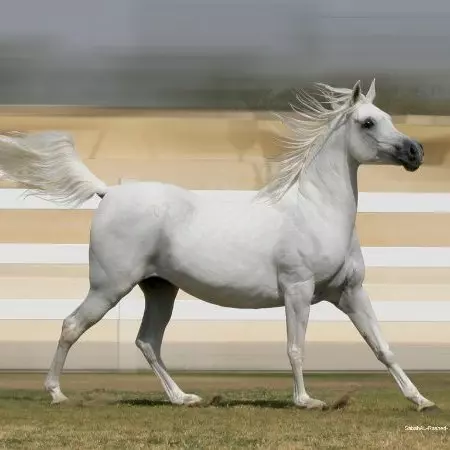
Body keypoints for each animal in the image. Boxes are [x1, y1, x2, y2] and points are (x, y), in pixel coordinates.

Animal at [0, 80, 436, 412]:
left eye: (389, 117)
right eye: (368, 122)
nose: (415, 152)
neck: (317, 212)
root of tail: (108, 192)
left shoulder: (350, 292)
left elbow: (383, 347)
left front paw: (420, 401)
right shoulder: (298, 291)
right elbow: (295, 347)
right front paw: (306, 401)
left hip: (160, 289)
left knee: (147, 341)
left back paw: (182, 398)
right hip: (109, 287)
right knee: (72, 326)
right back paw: (57, 393)